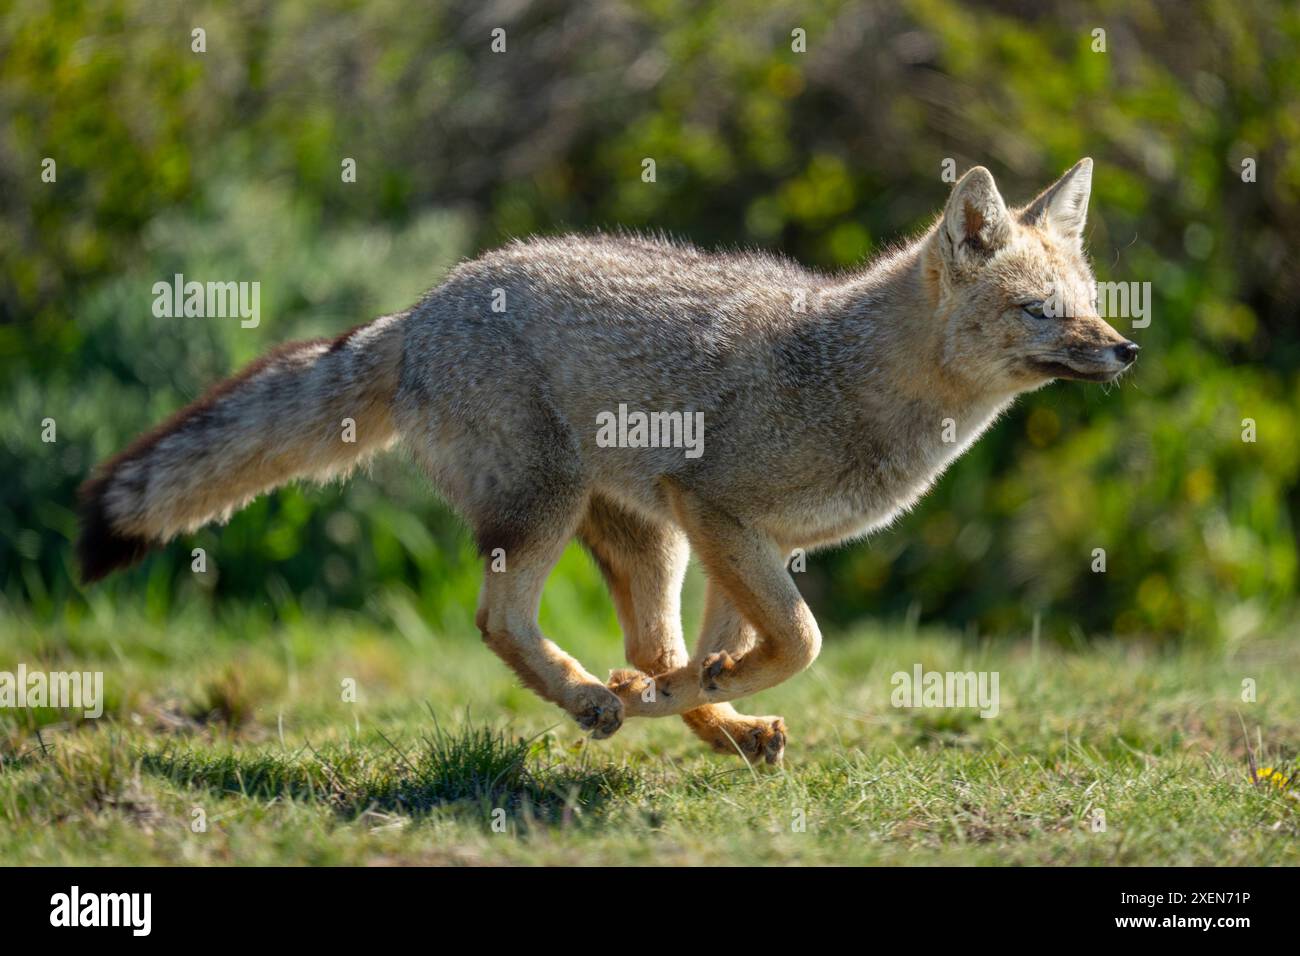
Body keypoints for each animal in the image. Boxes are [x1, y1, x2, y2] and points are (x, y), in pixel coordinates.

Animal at [78, 159, 1137, 763]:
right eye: (1040, 312)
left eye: (1090, 303)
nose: (1126, 351)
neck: (850, 372)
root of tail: (420, 310)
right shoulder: (713, 505)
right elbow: (801, 641)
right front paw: (690, 690)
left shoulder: (741, 535)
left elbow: (738, 650)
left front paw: (706, 694)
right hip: (551, 509)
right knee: (500, 619)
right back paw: (595, 696)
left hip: (645, 541)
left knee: (652, 647)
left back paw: (694, 716)